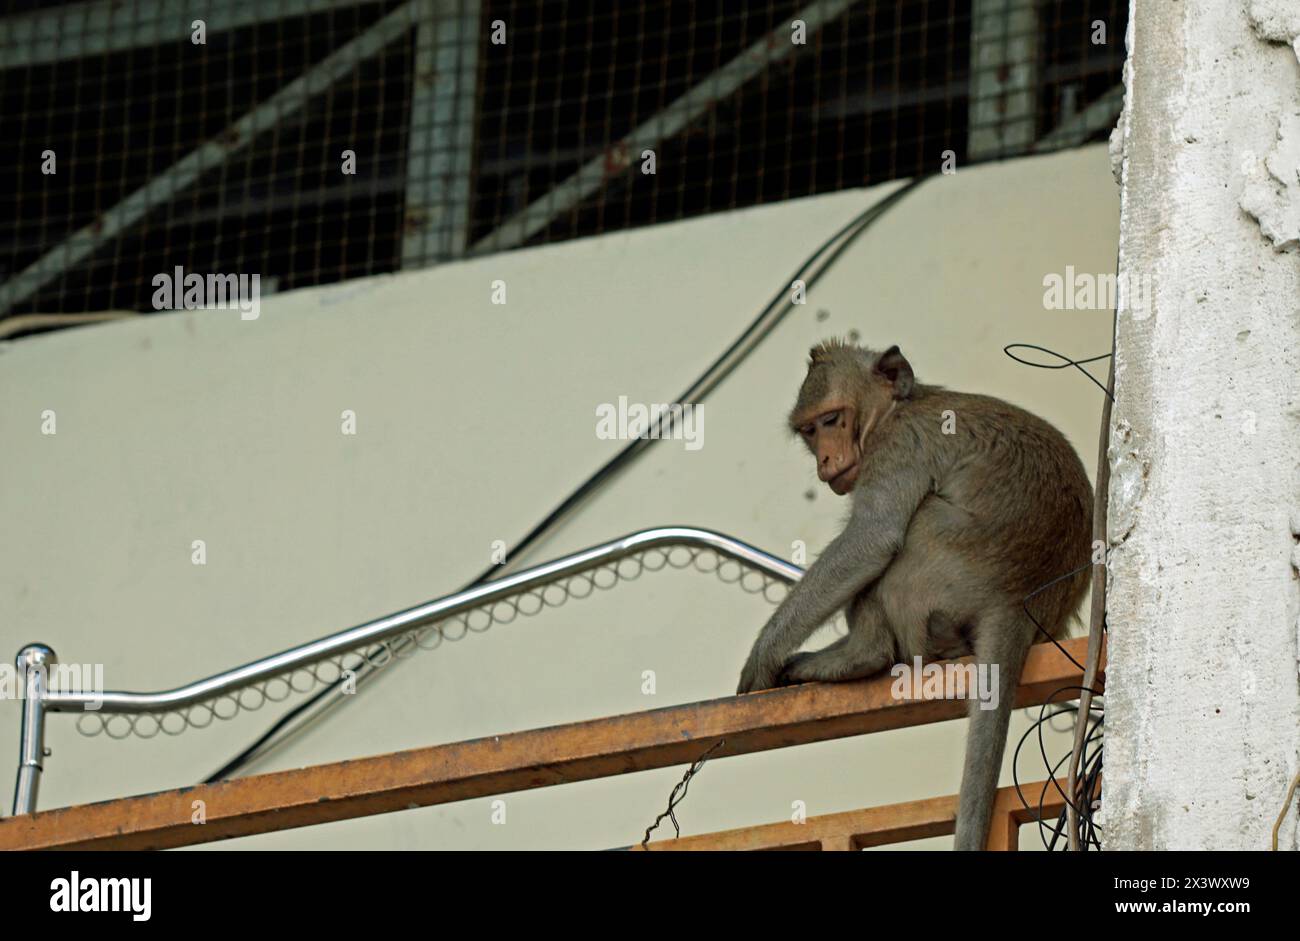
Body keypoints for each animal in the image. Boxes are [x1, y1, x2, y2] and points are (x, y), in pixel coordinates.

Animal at [736, 339, 1092, 851]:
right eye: (809, 431)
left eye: (832, 419)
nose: (825, 460)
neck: (892, 411)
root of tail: (1021, 601)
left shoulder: (897, 448)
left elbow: (873, 538)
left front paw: (761, 659)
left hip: (949, 570)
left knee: (912, 529)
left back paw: (861, 655)